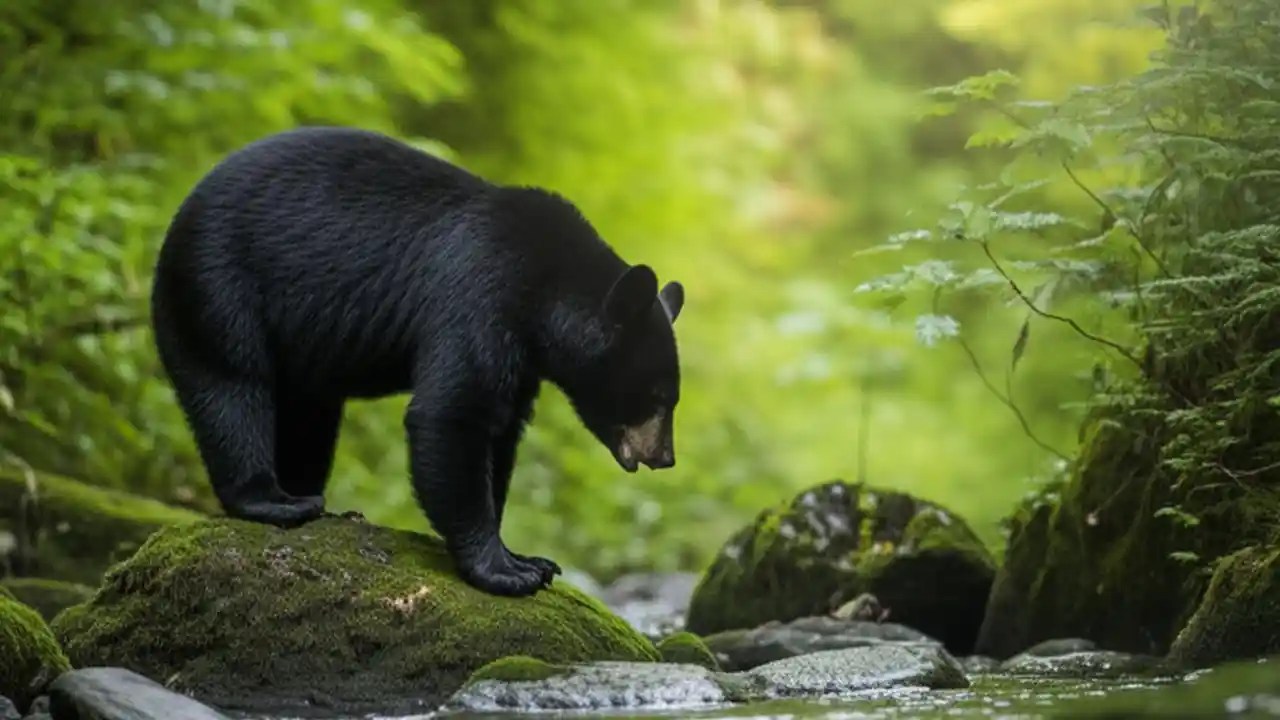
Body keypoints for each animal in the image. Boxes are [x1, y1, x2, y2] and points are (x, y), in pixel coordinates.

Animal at [150, 126, 684, 597]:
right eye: (659, 396)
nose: (665, 457)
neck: (545, 290)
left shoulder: (524, 355)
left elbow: (502, 430)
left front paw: (525, 556)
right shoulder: (480, 294)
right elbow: (452, 414)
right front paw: (505, 570)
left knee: (308, 417)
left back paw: (307, 494)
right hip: (218, 284)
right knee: (232, 386)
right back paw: (273, 500)